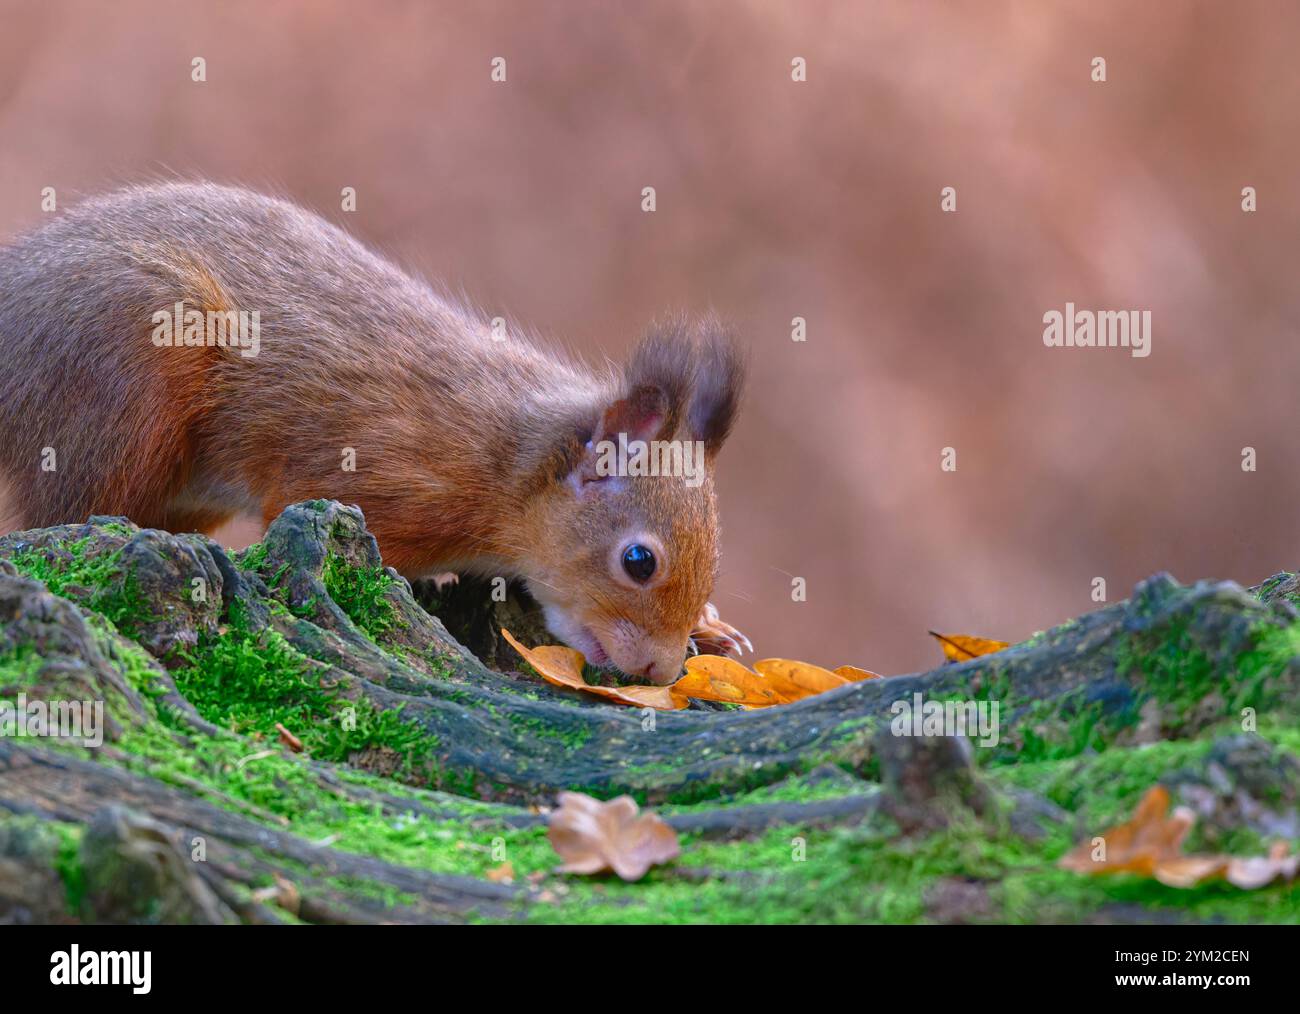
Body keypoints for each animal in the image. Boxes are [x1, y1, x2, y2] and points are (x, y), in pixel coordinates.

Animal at [0, 182, 750, 684]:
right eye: (639, 561)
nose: (658, 672)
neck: (509, 469)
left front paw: (712, 630)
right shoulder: (380, 477)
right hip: (126, 368)